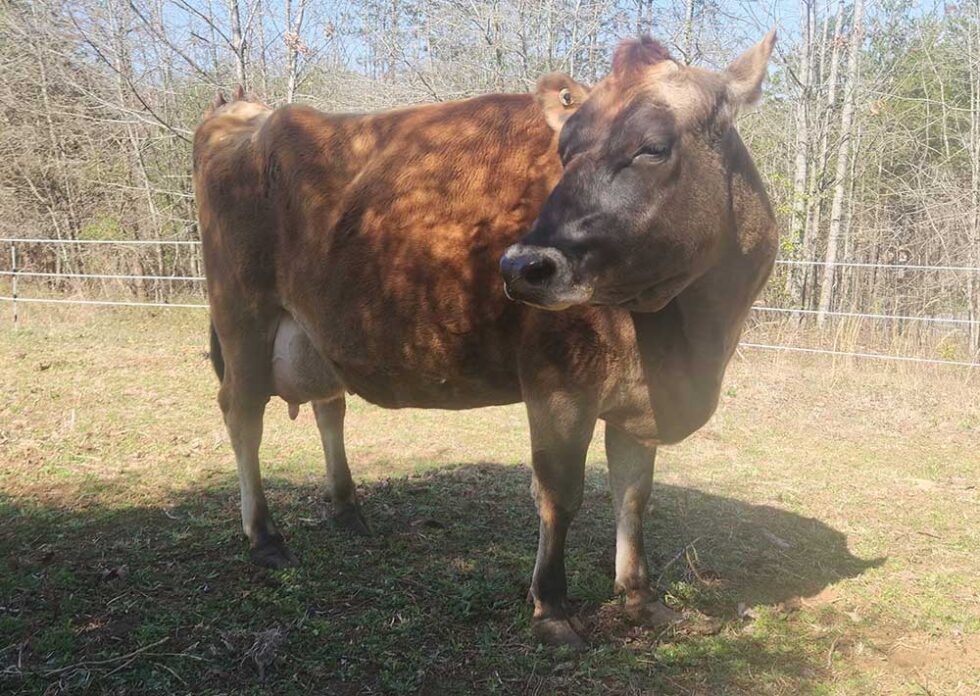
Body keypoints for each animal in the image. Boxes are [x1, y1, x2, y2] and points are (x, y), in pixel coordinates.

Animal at [193, 33, 777, 647]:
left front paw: (640, 597)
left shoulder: (639, 399)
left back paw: (349, 509)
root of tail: (244, 110)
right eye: (564, 151)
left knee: (330, 406)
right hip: (243, 319)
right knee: (242, 414)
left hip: (316, 330)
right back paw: (264, 536)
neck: (687, 340)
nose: (522, 265)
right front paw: (551, 607)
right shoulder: (557, 383)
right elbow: (560, 494)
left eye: (653, 147)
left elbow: (635, 496)